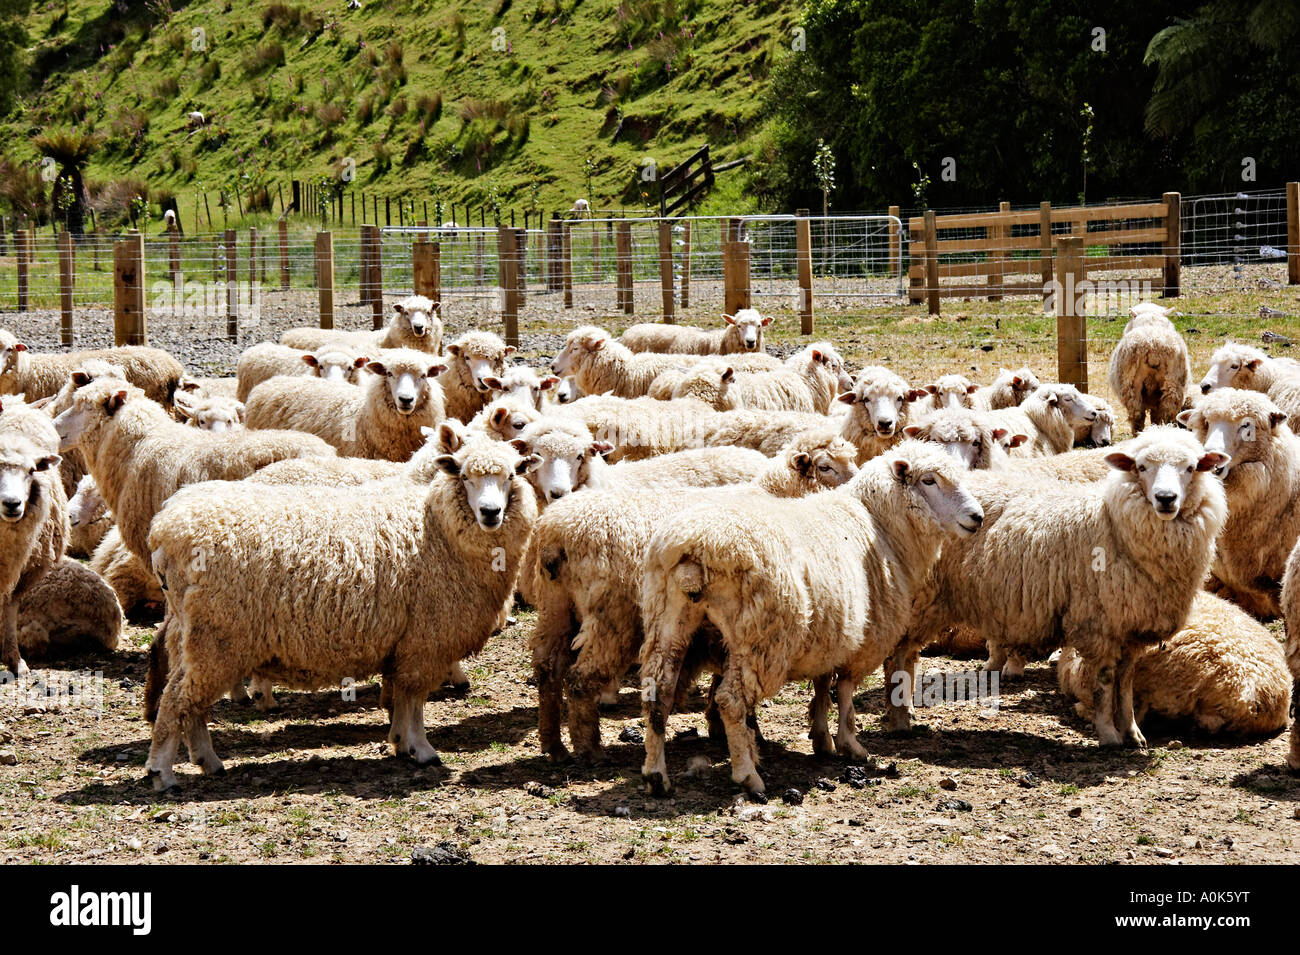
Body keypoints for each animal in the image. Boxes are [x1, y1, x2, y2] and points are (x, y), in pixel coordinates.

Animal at [143, 438, 541, 791]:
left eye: (511, 475)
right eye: (465, 476)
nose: (490, 512)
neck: (438, 528)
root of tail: (164, 528)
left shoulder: (405, 644)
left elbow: (401, 697)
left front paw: (400, 742)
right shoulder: (424, 640)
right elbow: (414, 700)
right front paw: (422, 749)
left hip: (189, 633)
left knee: (189, 700)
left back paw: (208, 761)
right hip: (217, 633)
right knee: (177, 699)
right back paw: (162, 773)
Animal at [529, 428, 861, 763]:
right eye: (825, 467)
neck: (776, 495)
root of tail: (558, 532)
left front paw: (720, 725)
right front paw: (748, 731)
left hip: (555, 605)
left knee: (547, 669)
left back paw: (554, 745)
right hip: (611, 617)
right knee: (579, 680)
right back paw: (591, 749)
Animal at [636, 440, 982, 796]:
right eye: (929, 480)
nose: (977, 517)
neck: (879, 524)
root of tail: (694, 548)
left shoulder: (832, 630)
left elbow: (822, 685)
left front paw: (822, 738)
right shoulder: (866, 637)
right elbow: (845, 691)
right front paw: (849, 744)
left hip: (667, 616)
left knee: (658, 691)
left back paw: (656, 775)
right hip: (761, 637)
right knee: (731, 700)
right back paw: (748, 774)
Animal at [885, 427, 1228, 748]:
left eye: (1192, 467)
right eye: (1141, 467)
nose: (1165, 499)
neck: (1113, 523)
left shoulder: (1129, 628)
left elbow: (1126, 682)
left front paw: (1132, 733)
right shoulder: (1099, 624)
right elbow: (1104, 682)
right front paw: (1109, 735)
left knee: (907, 654)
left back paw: (906, 708)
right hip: (918, 600)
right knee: (896, 657)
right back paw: (899, 718)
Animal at [1106, 303, 1191, 434]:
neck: (1151, 323)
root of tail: (1153, 344)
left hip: (1130, 385)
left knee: (1137, 415)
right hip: (1174, 384)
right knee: (1166, 413)